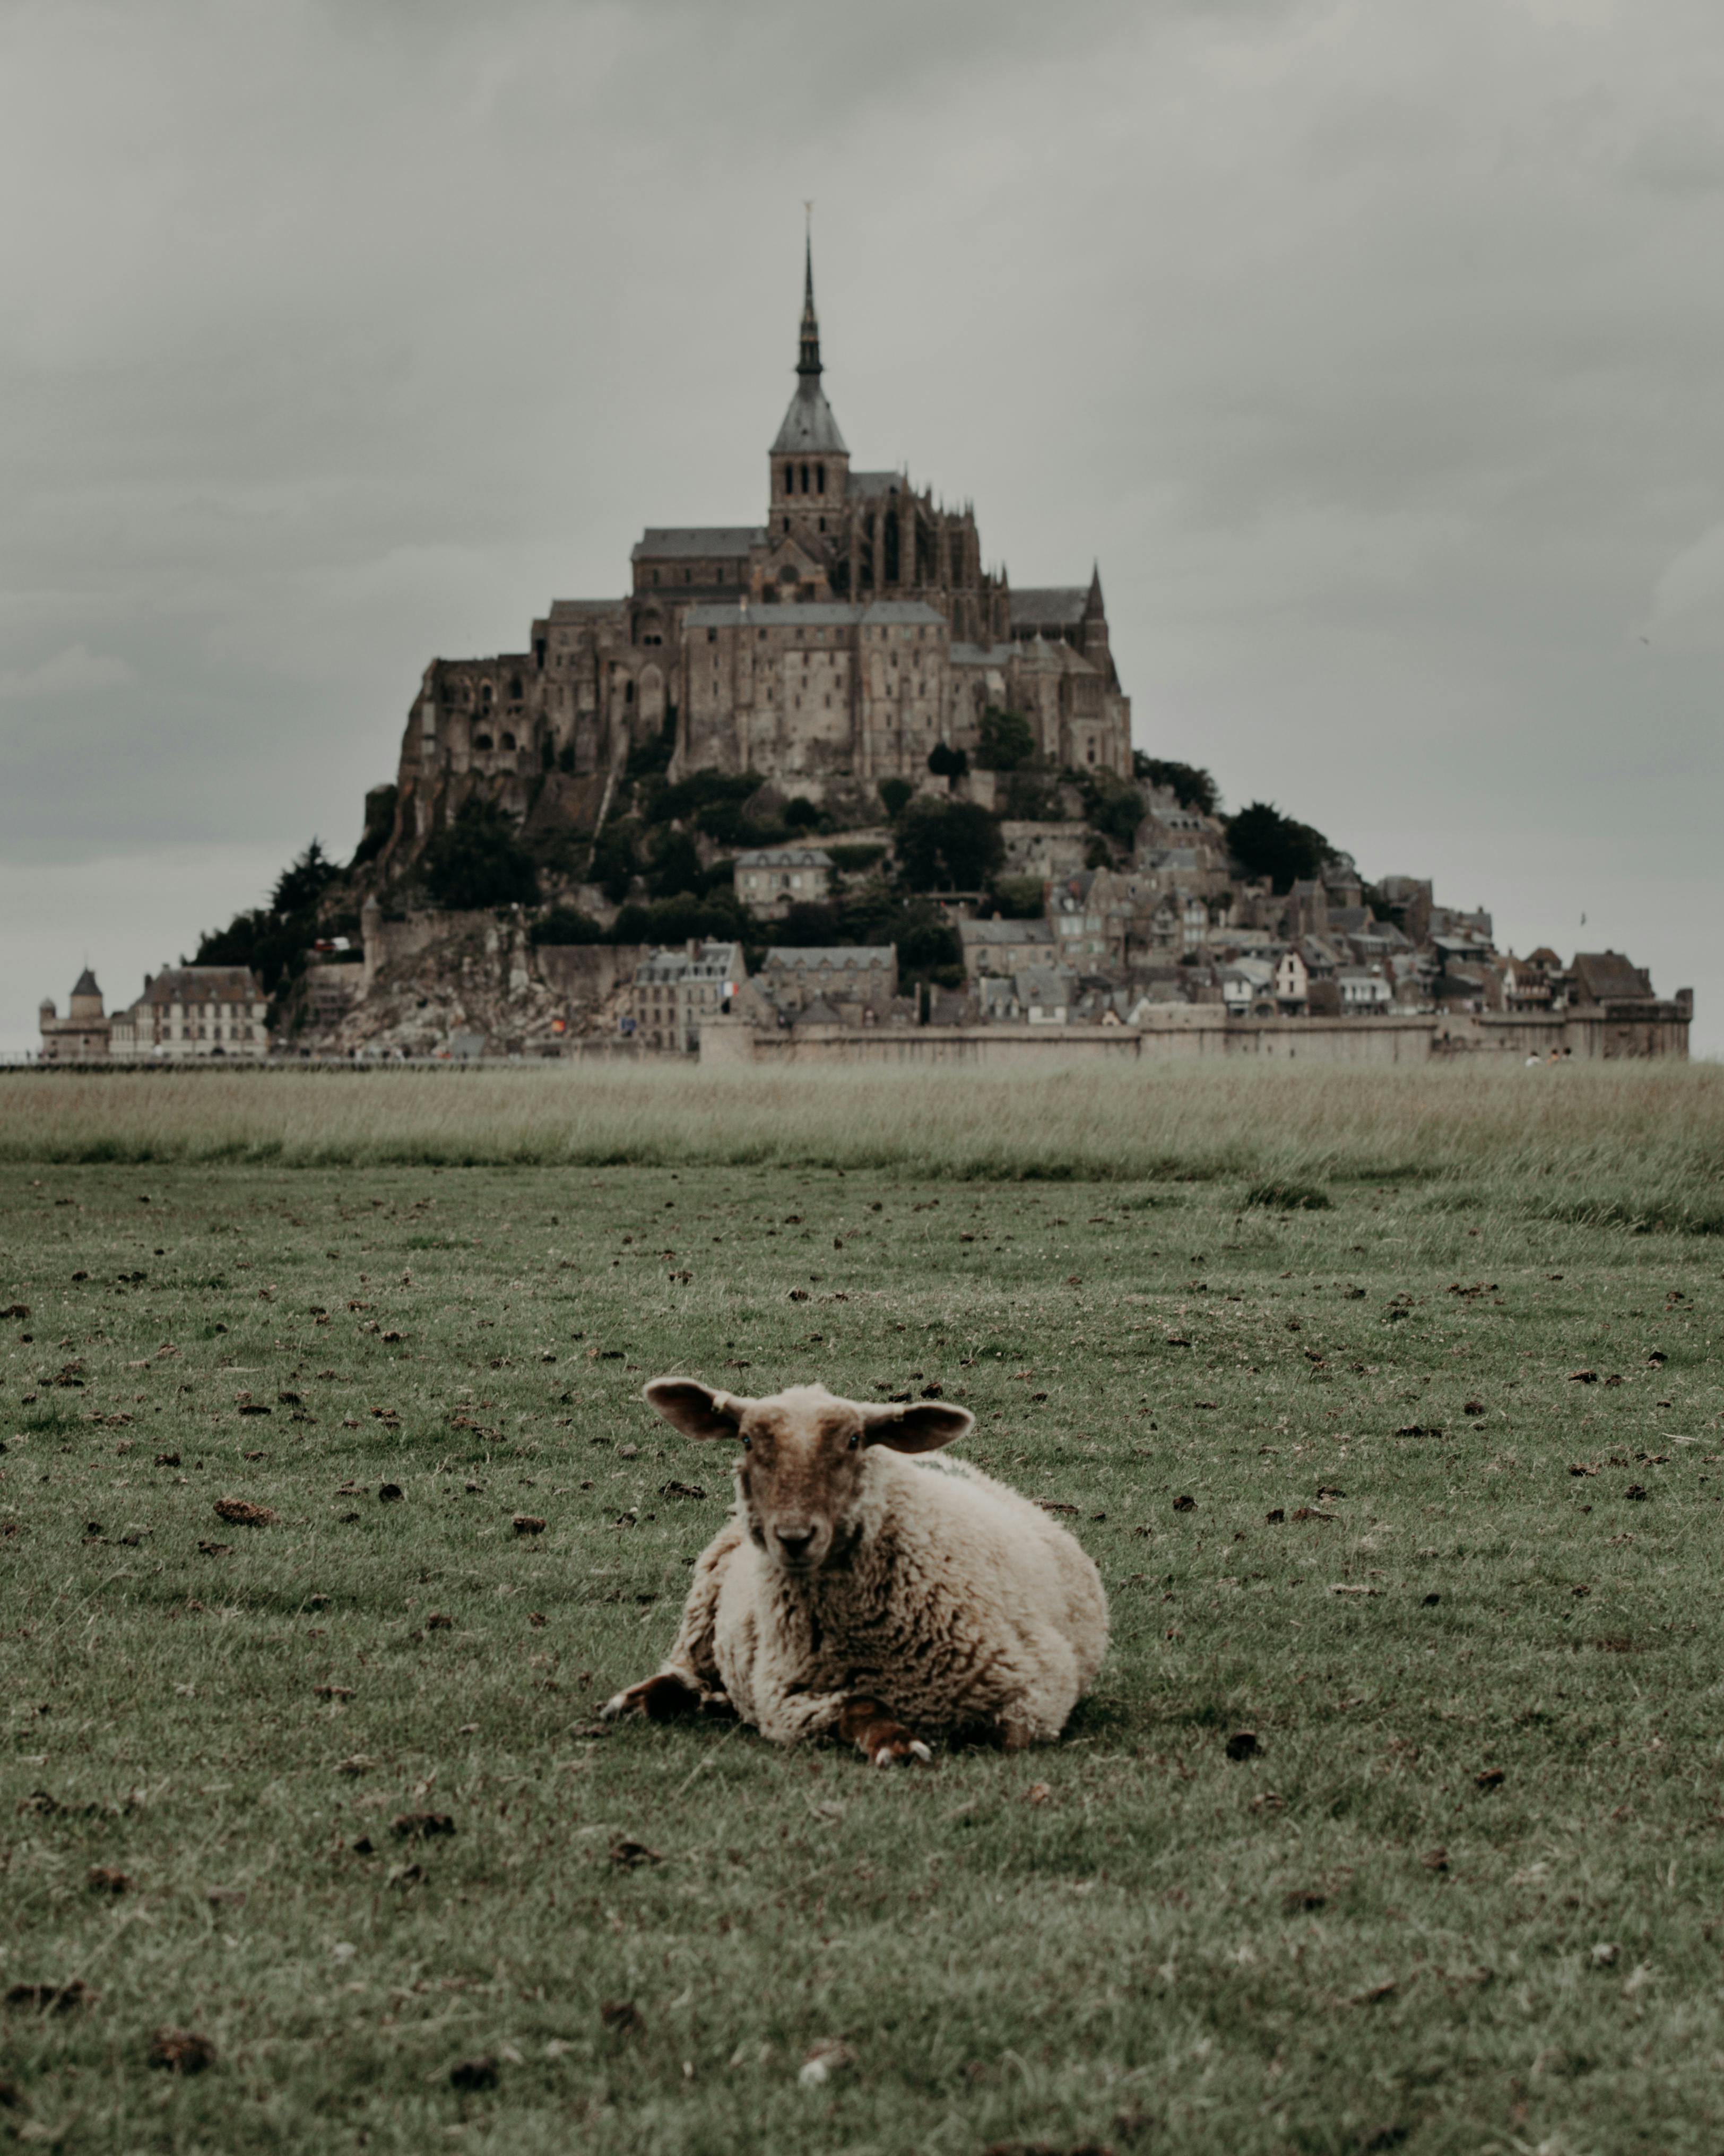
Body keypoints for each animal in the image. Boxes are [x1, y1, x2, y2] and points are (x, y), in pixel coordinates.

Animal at [601, 1378, 1109, 1766]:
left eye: (853, 1440)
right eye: (746, 1440)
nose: (794, 1536)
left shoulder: (1037, 1690)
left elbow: (1006, 1737)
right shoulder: (791, 1698)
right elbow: (859, 1707)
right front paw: (897, 1744)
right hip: (703, 1612)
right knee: (684, 1673)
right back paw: (634, 1702)